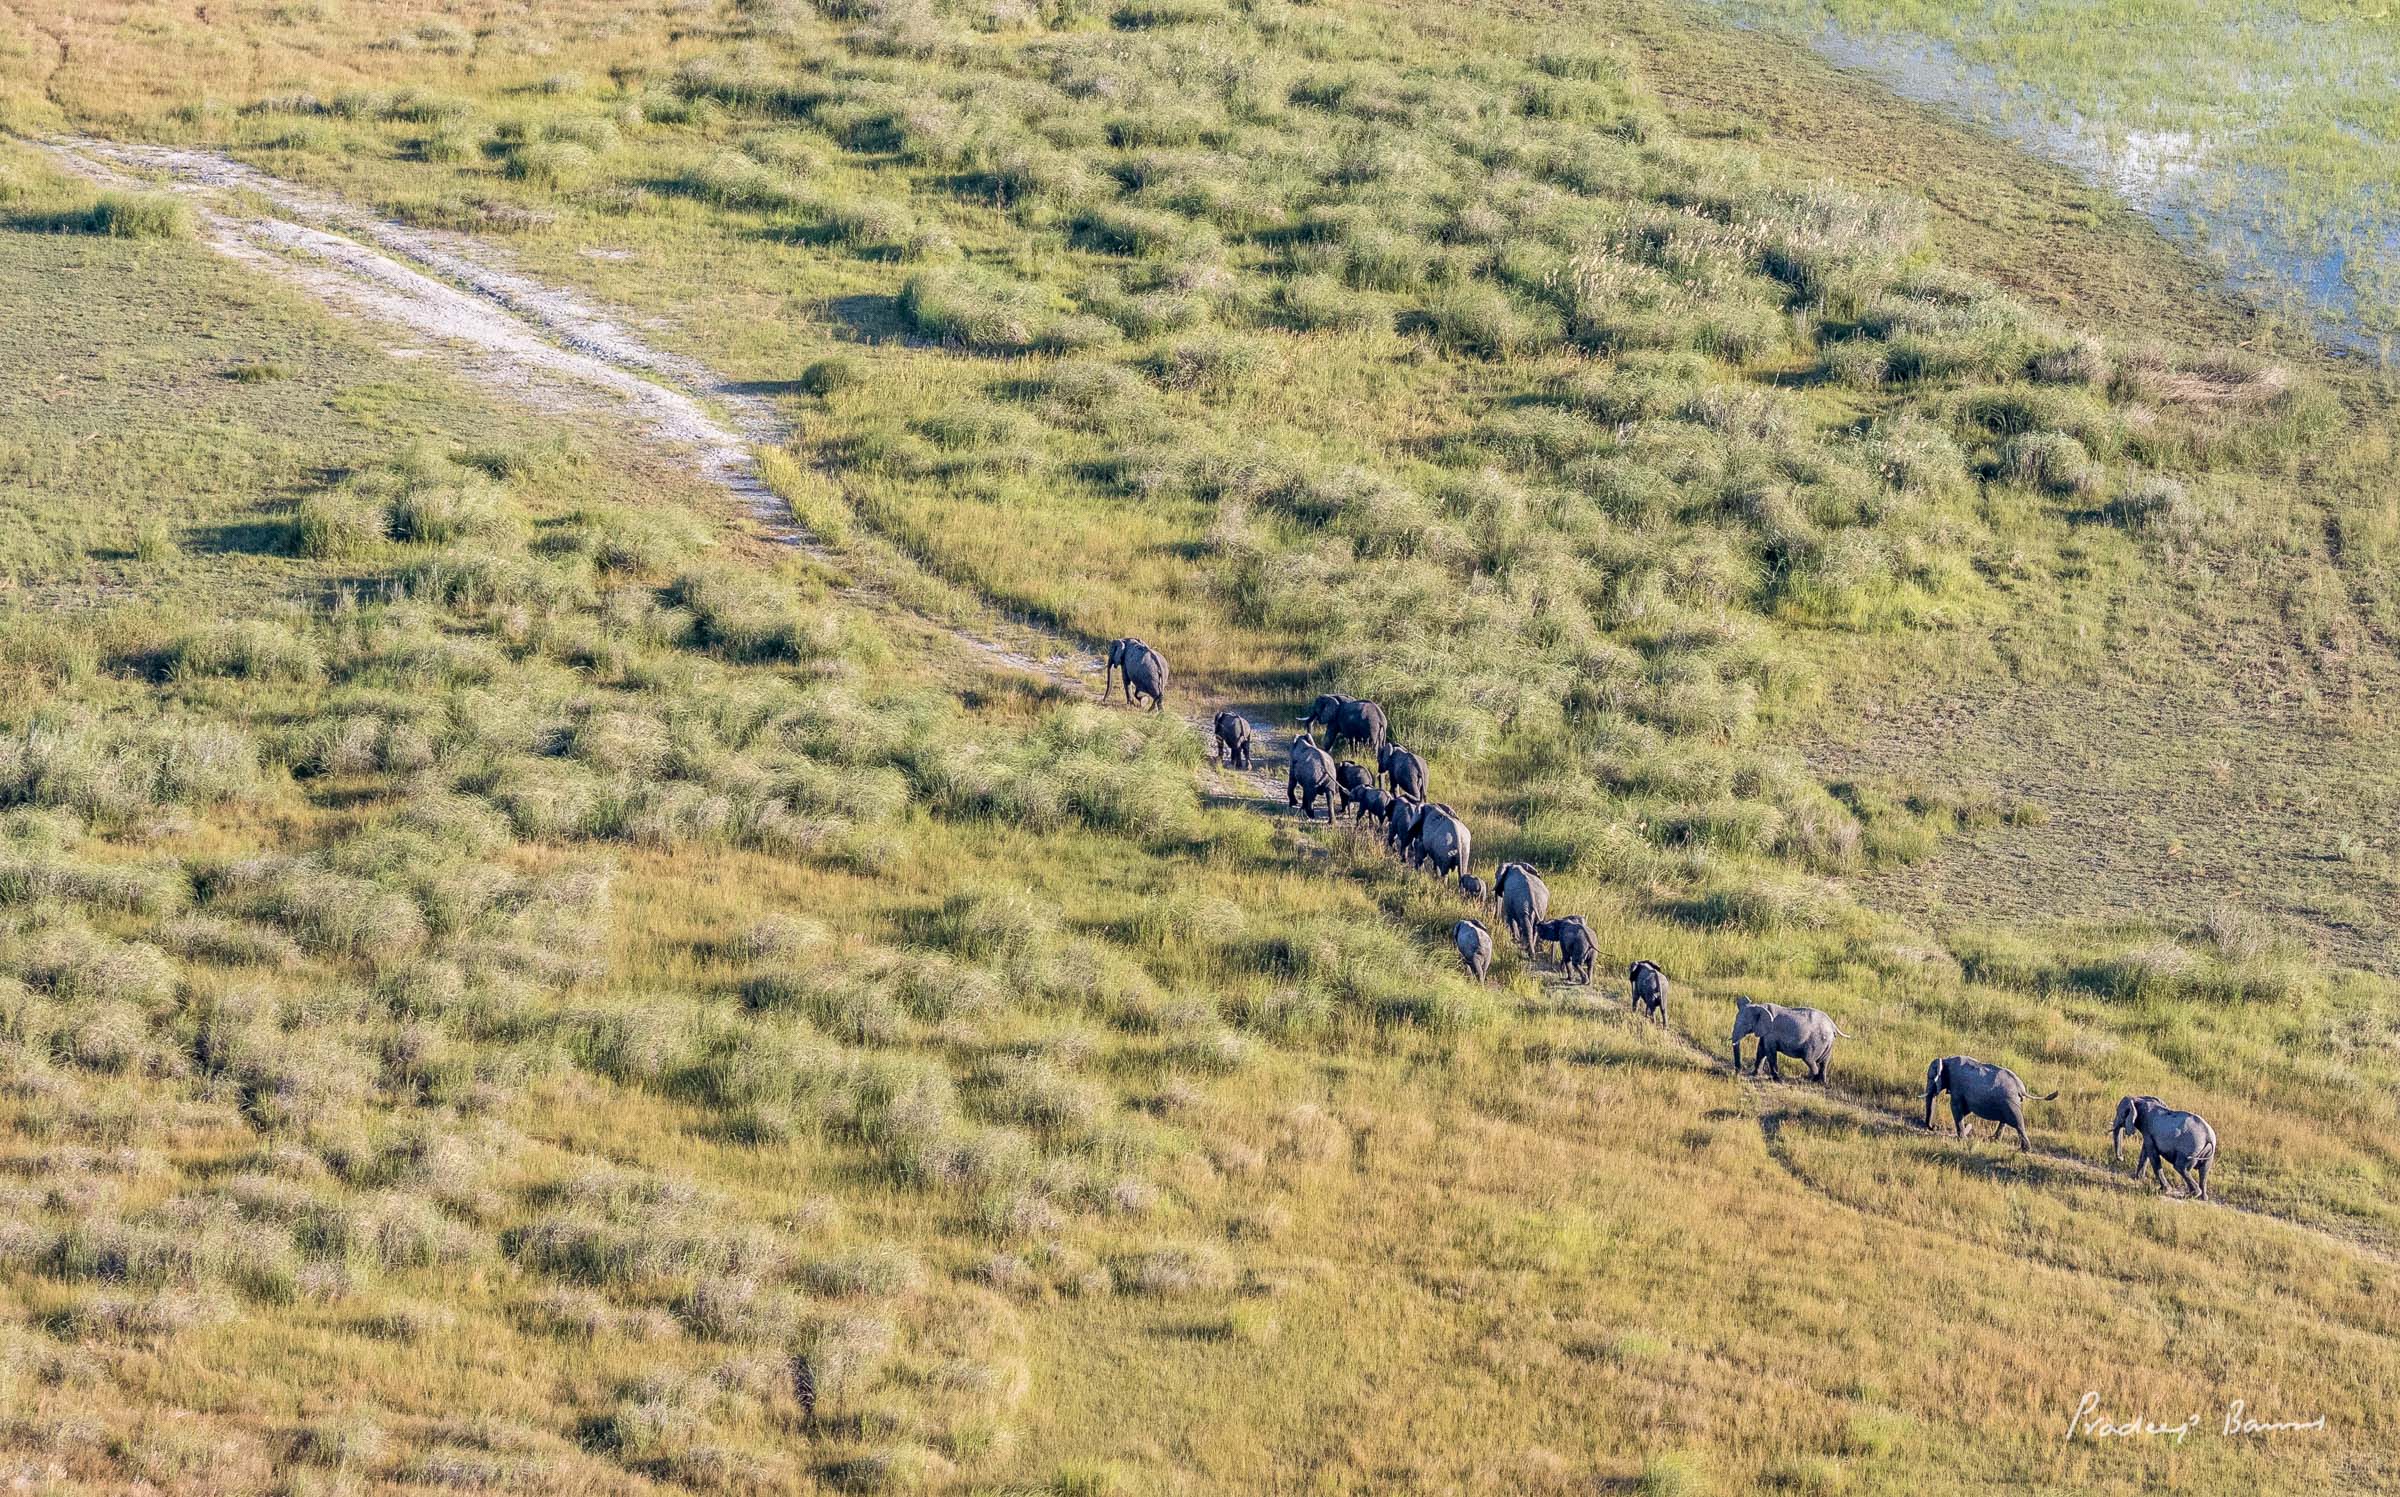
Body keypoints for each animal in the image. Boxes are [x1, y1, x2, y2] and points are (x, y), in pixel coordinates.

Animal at [1921, 1056, 2058, 1151]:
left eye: (1931, 1078)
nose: (1935, 1127)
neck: (1946, 1060)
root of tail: (2021, 1088)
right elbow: (1964, 1110)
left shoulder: (1957, 1084)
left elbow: (1956, 1108)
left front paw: (1962, 1139)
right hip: (2008, 1102)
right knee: (2005, 1120)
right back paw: (1995, 1140)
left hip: (2010, 1102)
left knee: (2017, 1123)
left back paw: (2025, 1150)